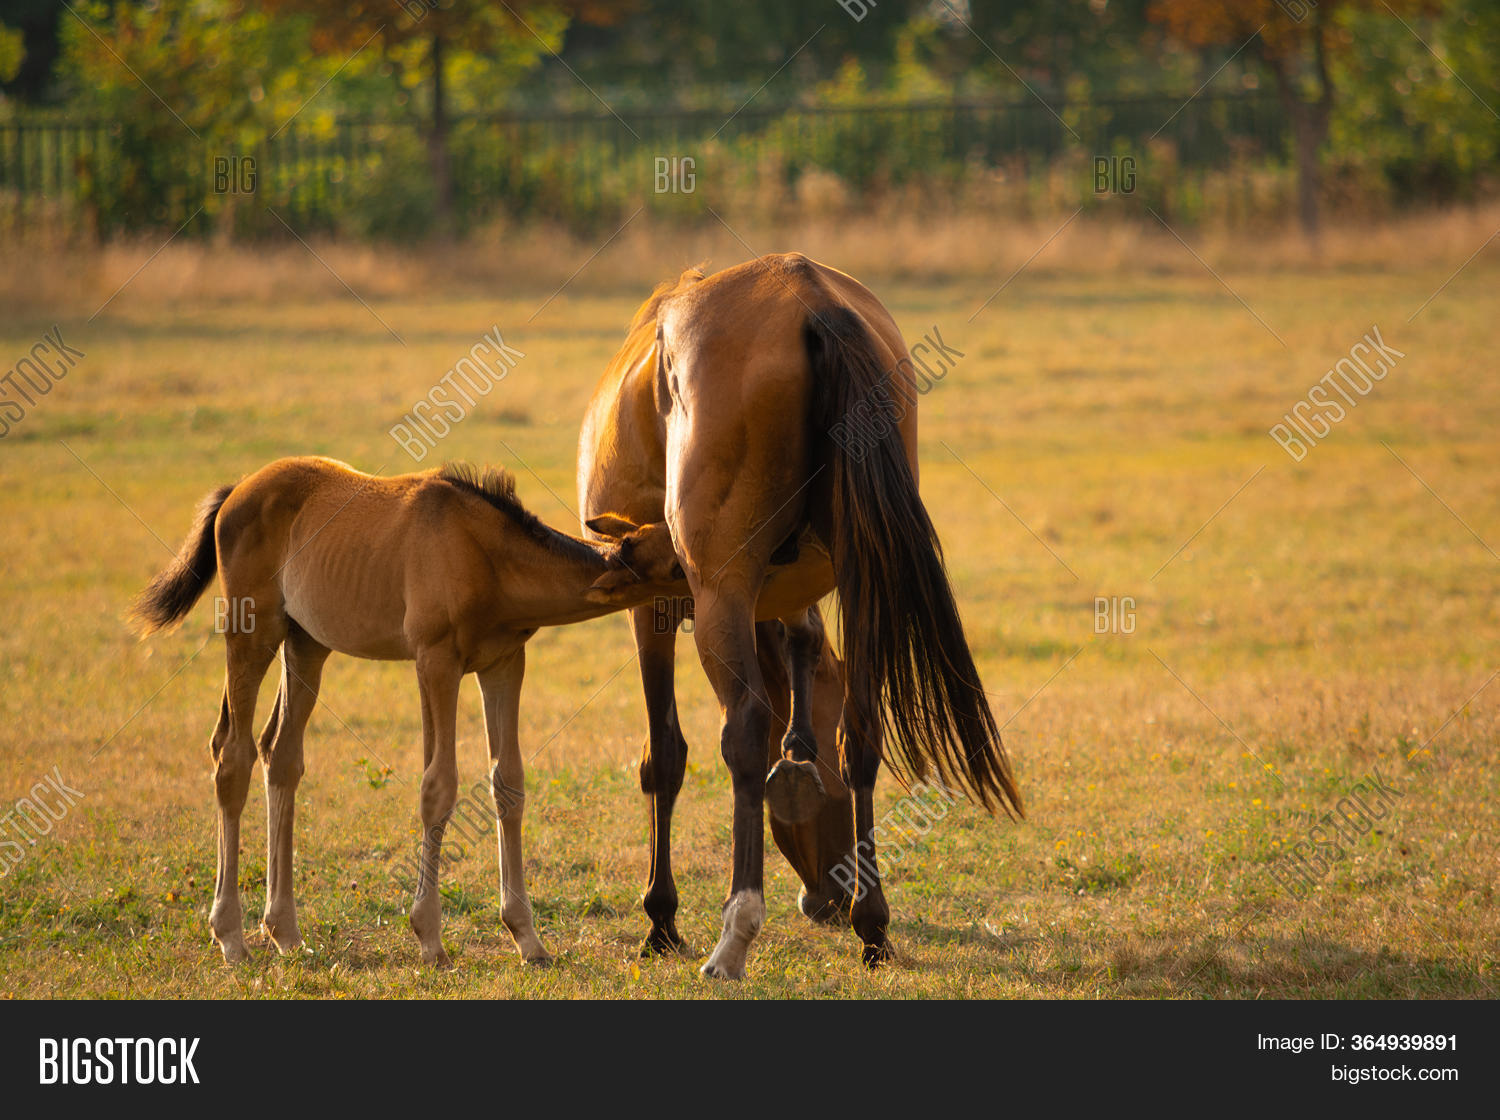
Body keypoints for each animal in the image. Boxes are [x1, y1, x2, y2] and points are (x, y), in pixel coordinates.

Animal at [130, 456, 681, 969]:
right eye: (676, 567)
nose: (700, 585)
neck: (486, 555)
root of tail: (235, 493)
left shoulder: (504, 662)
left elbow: (508, 784)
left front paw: (527, 938)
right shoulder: (435, 660)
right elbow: (438, 787)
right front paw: (430, 937)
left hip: (306, 643)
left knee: (280, 755)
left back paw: (285, 932)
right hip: (253, 632)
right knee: (233, 755)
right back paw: (230, 936)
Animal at [578, 253, 1024, 979]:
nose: (828, 897)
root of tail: (808, 295)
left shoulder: (652, 609)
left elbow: (664, 756)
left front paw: (660, 919)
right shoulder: (793, 600)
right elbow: (808, 670)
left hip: (720, 595)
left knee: (744, 732)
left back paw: (735, 933)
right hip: (860, 578)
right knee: (861, 736)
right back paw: (872, 925)